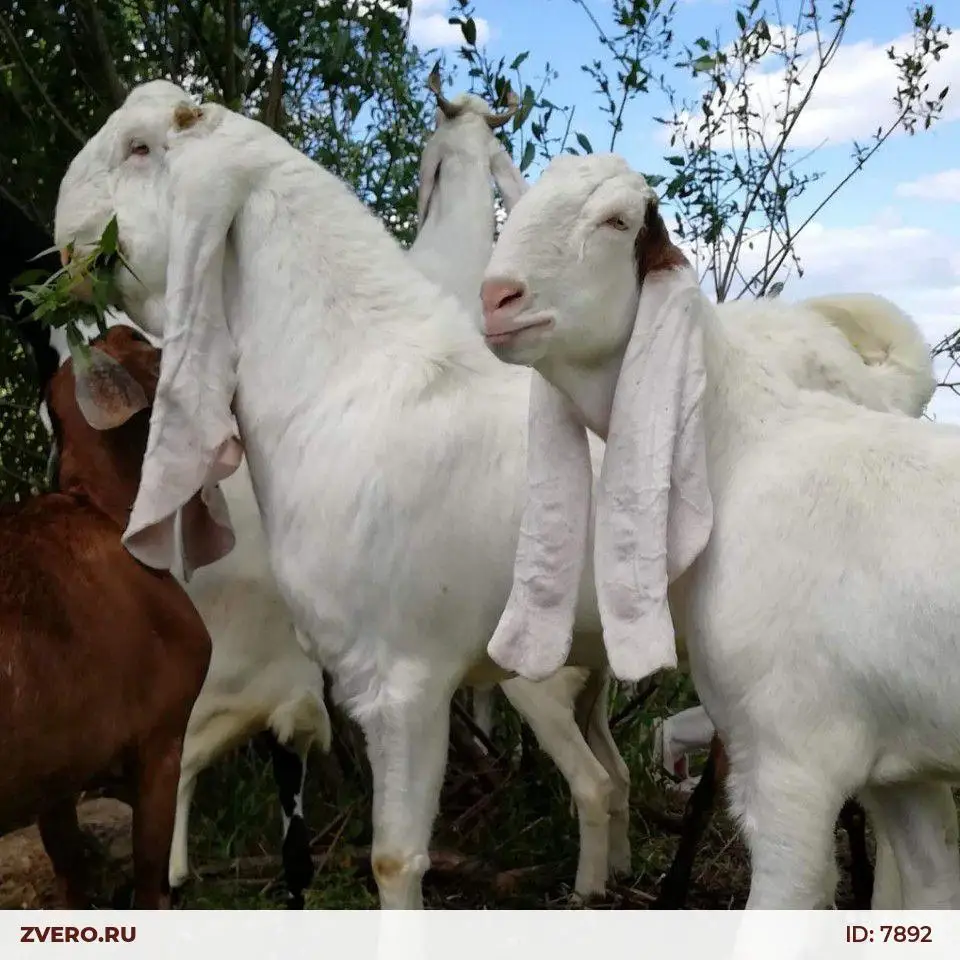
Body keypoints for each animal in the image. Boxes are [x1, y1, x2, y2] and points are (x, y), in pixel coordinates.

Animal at [0, 324, 211, 908]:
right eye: (133, 337)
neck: (101, 510)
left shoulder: (54, 778)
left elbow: (71, 876)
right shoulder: (162, 742)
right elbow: (149, 884)